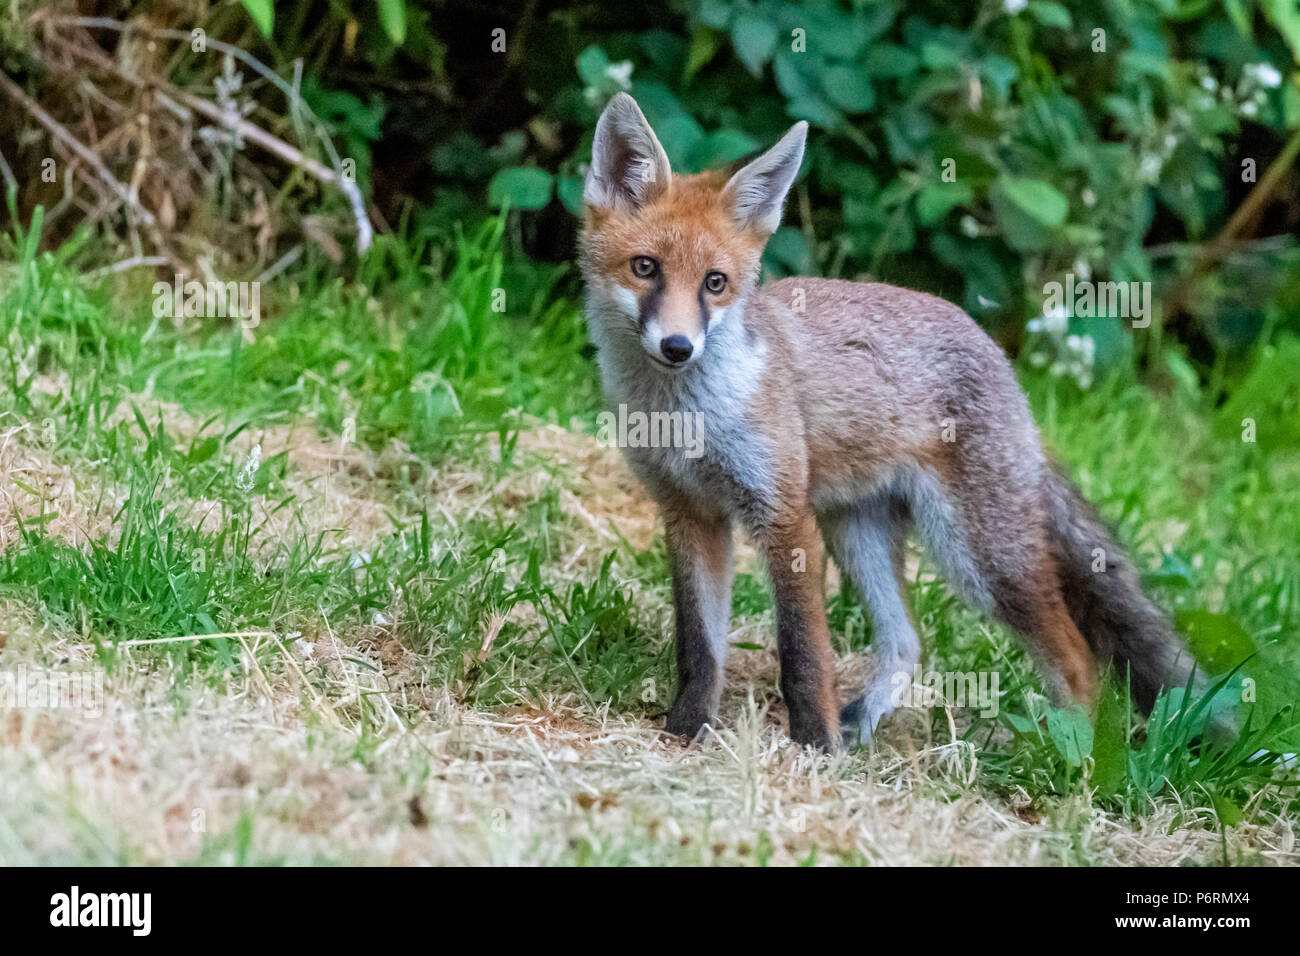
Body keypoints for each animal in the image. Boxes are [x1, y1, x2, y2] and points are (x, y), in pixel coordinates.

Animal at [578, 92, 1208, 750]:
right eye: (645, 268)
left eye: (715, 284)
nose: (678, 347)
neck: (683, 418)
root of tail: (996, 351)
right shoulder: (689, 513)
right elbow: (700, 649)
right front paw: (686, 730)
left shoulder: (784, 517)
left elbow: (803, 654)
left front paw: (816, 745)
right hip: (860, 534)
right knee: (909, 641)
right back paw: (870, 721)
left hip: (980, 559)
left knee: (1076, 657)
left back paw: (1070, 753)